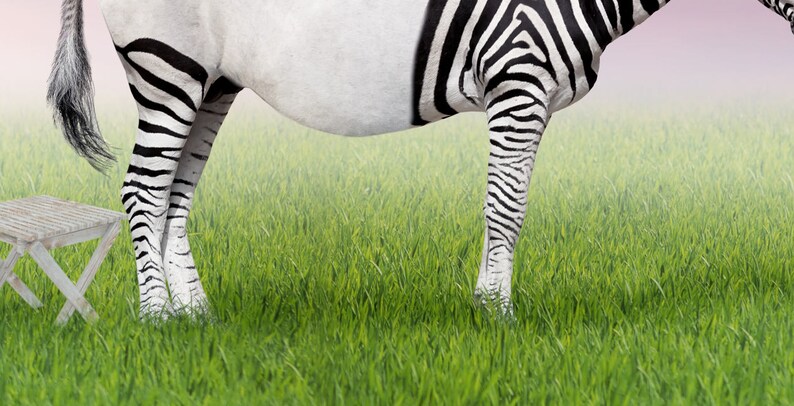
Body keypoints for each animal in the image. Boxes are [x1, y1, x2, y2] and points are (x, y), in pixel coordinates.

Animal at [47, 0, 794, 319]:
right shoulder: (518, 79)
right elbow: (504, 208)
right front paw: (497, 314)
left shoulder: (534, 96)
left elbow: (510, 206)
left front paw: (490, 305)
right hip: (167, 61)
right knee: (143, 189)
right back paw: (156, 319)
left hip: (213, 78)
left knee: (174, 195)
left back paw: (196, 315)